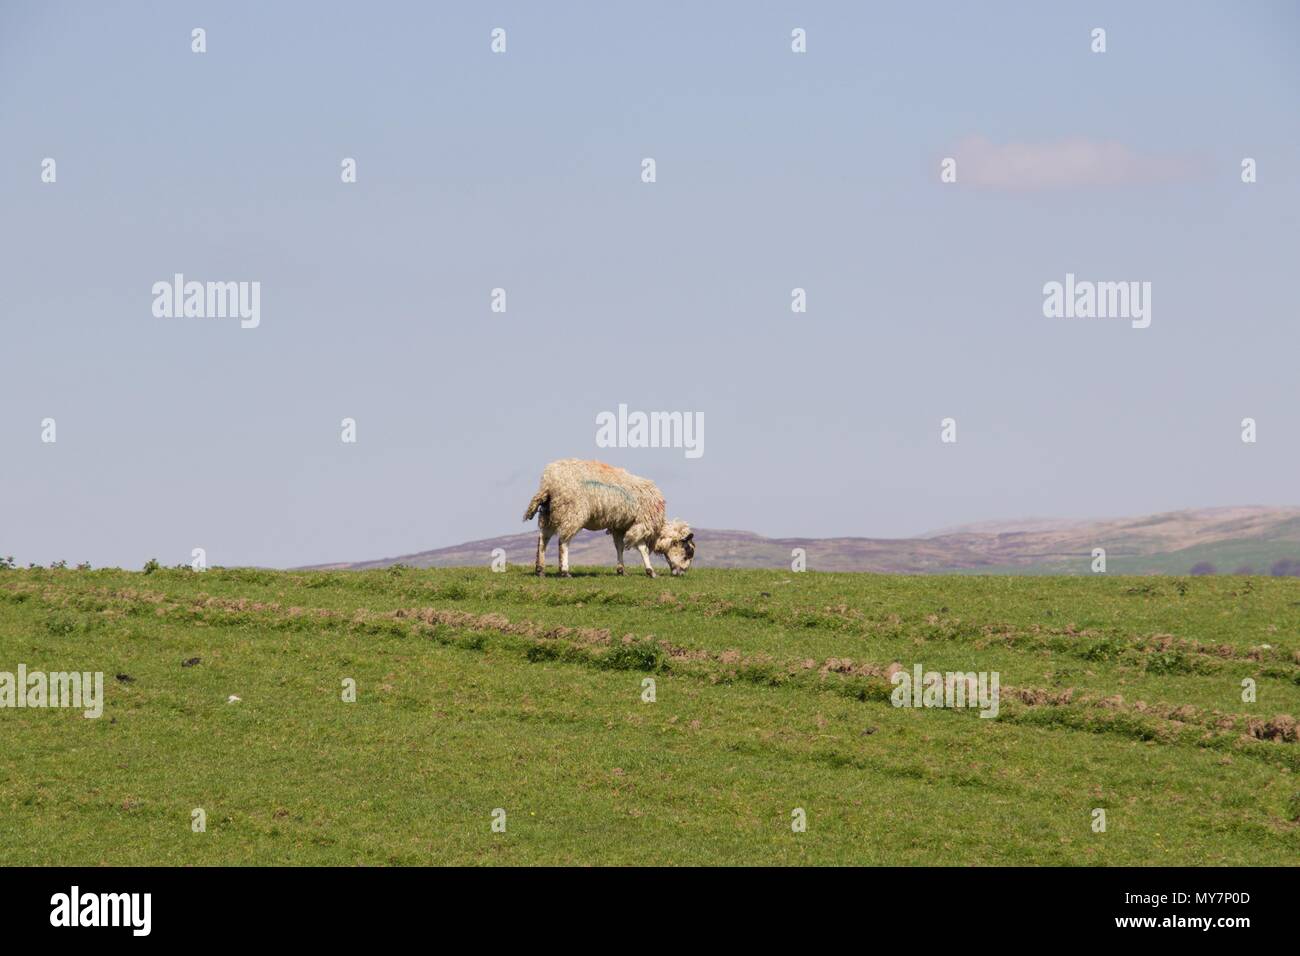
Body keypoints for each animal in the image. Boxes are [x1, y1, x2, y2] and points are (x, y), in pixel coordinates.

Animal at [523, 459, 695, 578]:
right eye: (687, 553)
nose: (681, 574)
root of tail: (550, 481)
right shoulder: (640, 523)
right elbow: (642, 549)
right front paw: (650, 571)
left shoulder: (620, 526)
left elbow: (619, 547)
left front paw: (621, 570)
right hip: (572, 512)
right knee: (563, 542)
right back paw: (565, 571)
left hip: (549, 512)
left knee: (543, 538)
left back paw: (540, 569)